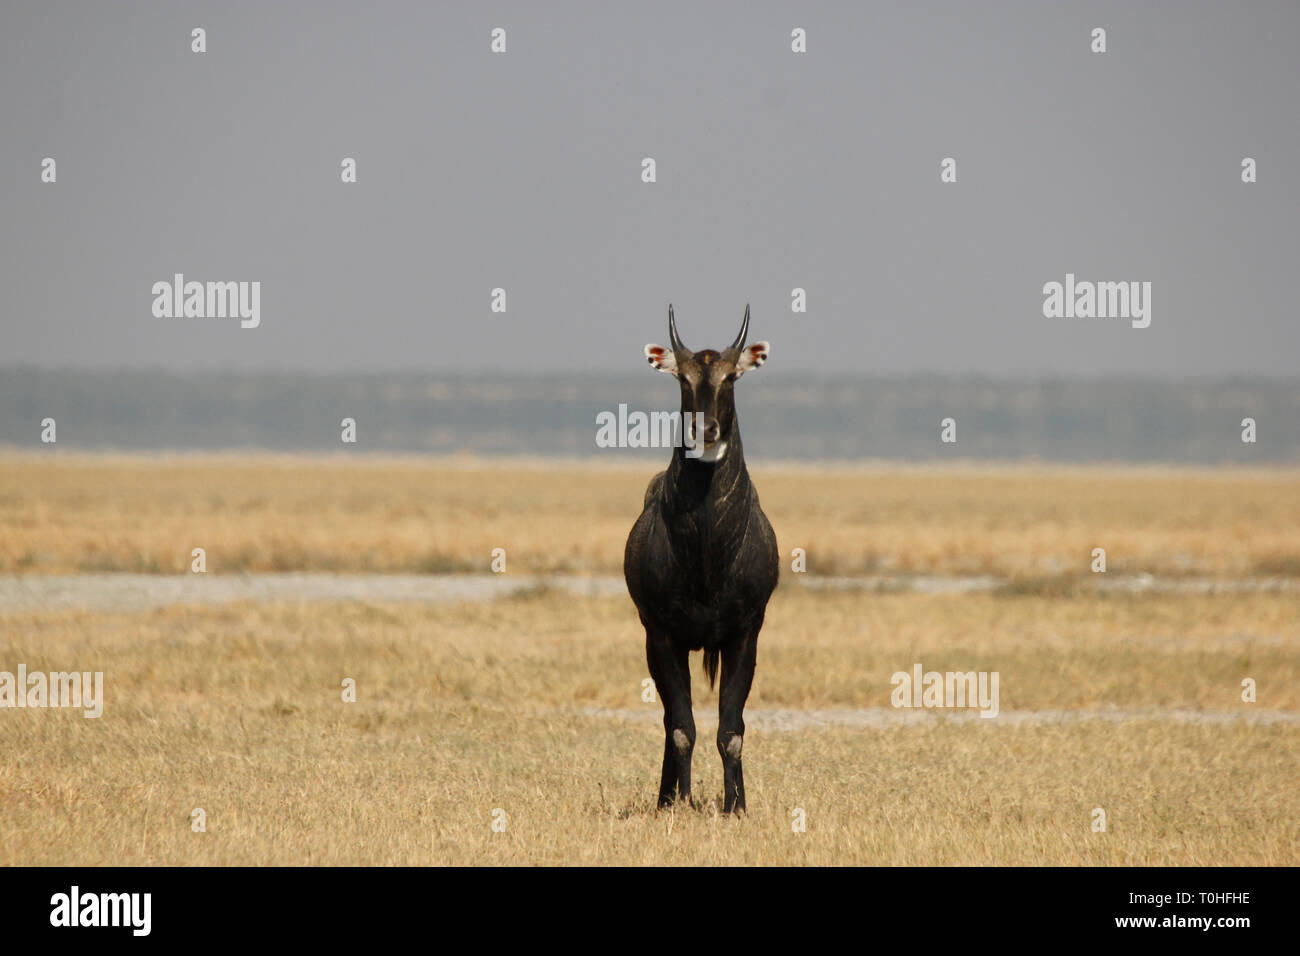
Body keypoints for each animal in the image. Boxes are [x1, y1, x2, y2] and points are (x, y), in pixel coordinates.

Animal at [623, 304, 779, 813]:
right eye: (684, 378)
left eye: (730, 376)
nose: (704, 430)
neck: (709, 560)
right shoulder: (662, 635)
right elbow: (681, 728)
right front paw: (682, 803)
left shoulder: (744, 634)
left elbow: (731, 730)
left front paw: (736, 806)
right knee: (672, 721)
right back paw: (666, 797)